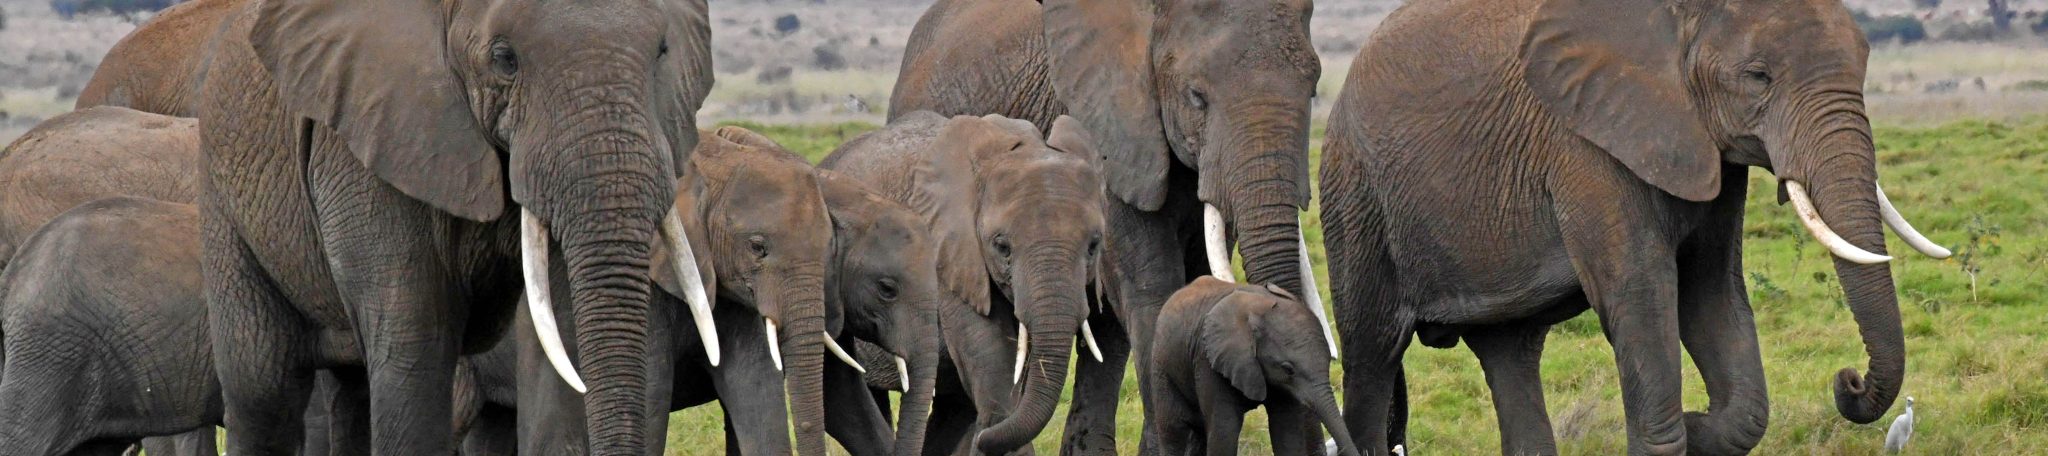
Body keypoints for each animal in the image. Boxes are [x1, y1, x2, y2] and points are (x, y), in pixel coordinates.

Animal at [189, 0, 727, 453]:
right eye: (505, 59)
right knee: (263, 392)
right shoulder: (372, 134)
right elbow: (415, 346)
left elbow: (565, 340)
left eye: (662, 51)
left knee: (350, 392)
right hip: (223, 194)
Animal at [1147, 277, 1359, 456]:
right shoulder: (1207, 360)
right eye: (1288, 369)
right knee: (1173, 431)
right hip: (1162, 366)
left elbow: (1286, 429)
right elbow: (1224, 430)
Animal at [1317, 0, 1950, 453]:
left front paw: (1698, 426)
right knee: (1373, 354)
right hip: (1355, 199)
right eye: (1758, 76)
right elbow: (1642, 295)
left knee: (1509, 351)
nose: (1848, 381)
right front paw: (1682, 427)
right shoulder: (1585, 146)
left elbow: (1712, 297)